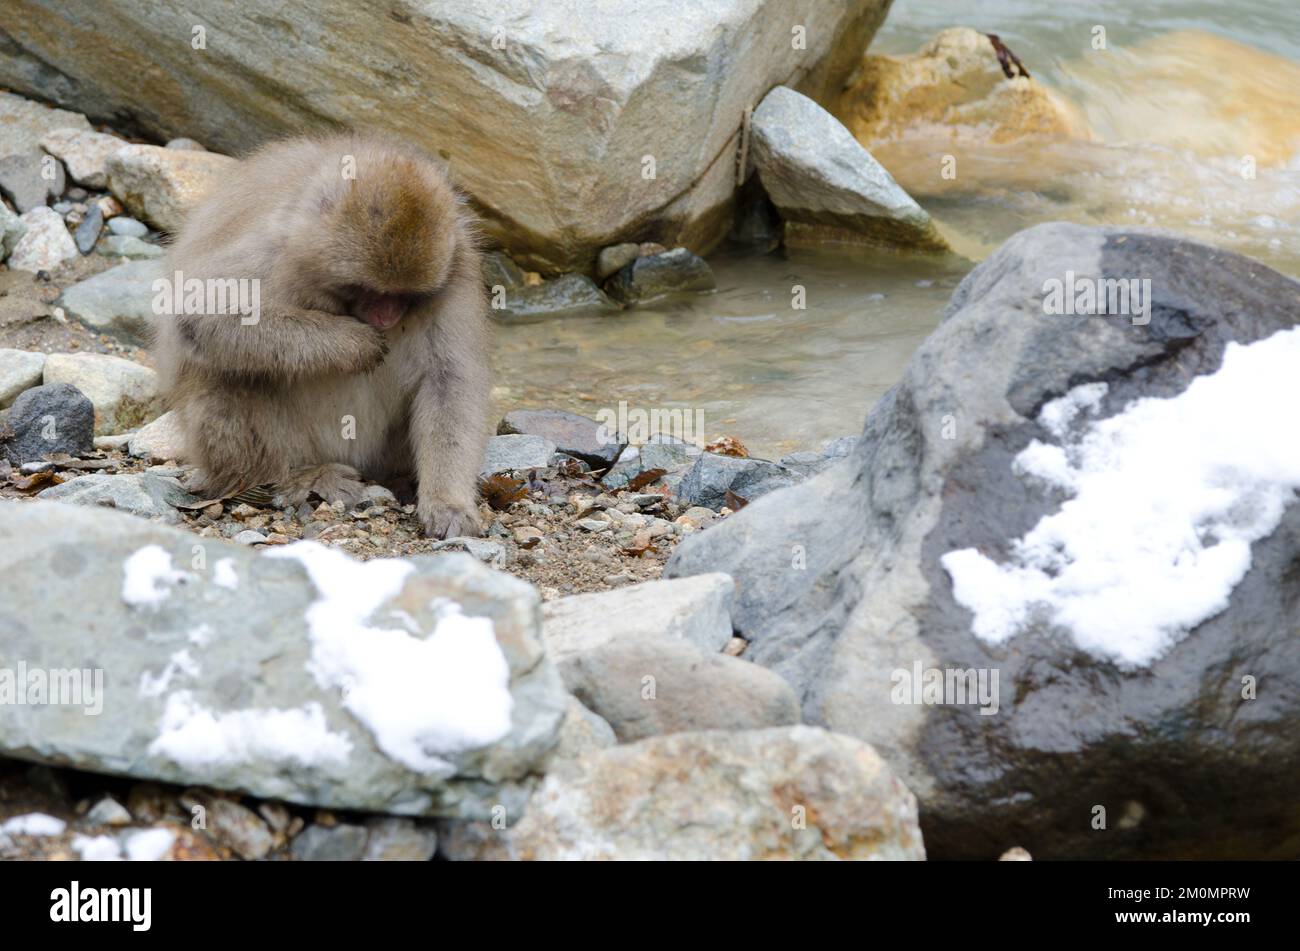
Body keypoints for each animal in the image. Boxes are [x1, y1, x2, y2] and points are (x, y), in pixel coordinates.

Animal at [153, 132, 490, 539]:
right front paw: (352, 343)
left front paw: (448, 504)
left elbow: (449, 381)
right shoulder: (274, 249)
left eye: (404, 295)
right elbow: (200, 313)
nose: (385, 316)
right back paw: (296, 476)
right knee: (224, 375)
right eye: (365, 289)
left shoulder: (458, 270)